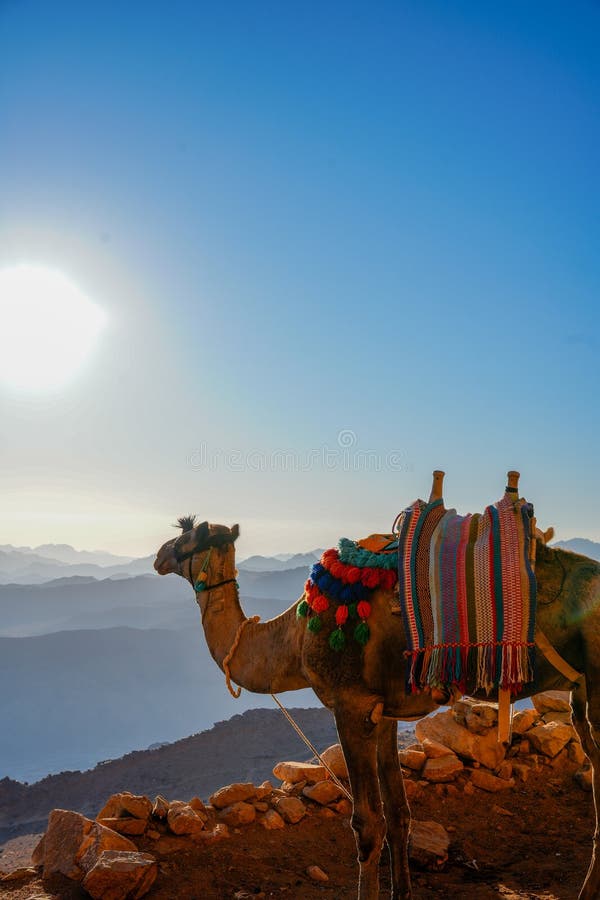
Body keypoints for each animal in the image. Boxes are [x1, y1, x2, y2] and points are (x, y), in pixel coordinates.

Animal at [154, 478, 600, 900]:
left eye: (186, 537)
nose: (158, 555)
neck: (295, 639)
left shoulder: (351, 704)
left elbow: (367, 824)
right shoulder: (385, 712)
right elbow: (399, 813)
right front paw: (402, 890)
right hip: (582, 690)